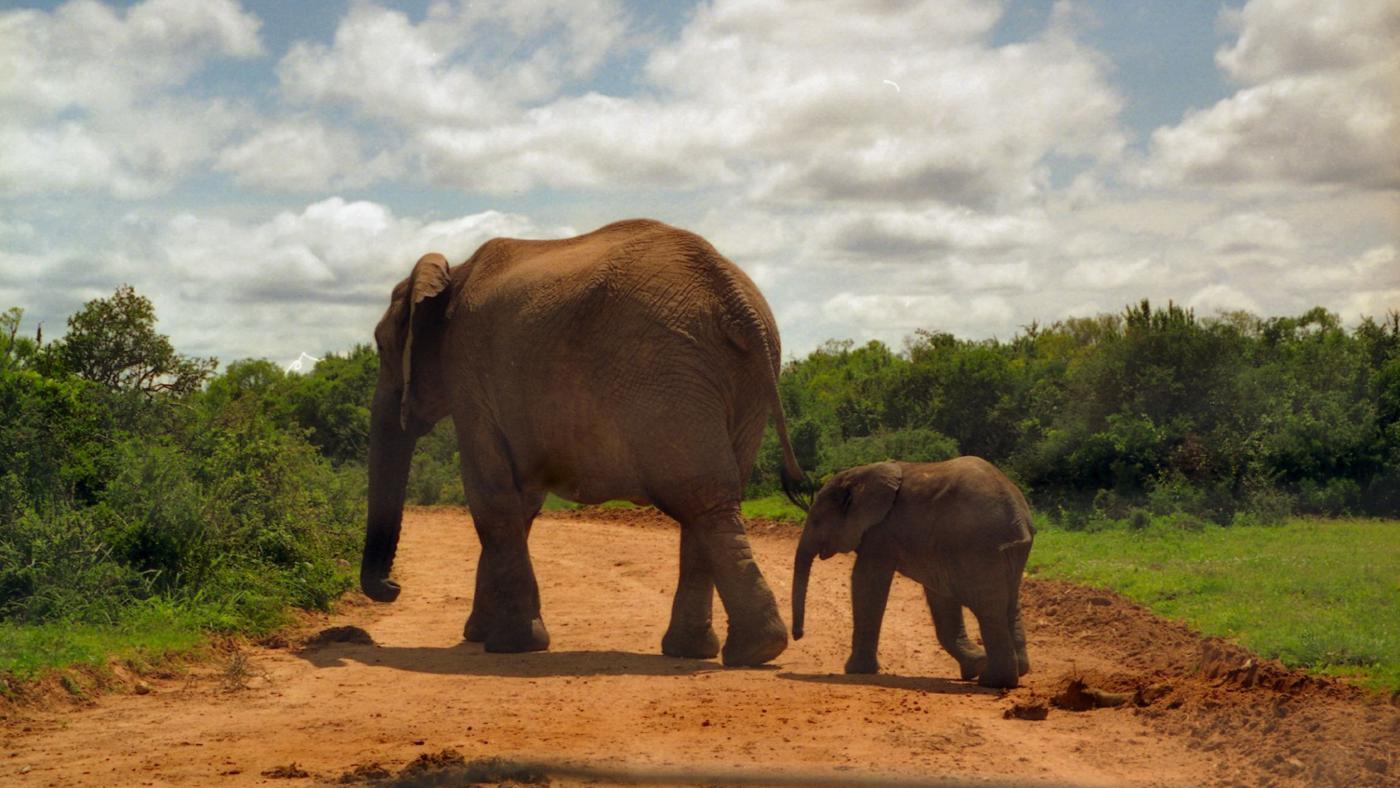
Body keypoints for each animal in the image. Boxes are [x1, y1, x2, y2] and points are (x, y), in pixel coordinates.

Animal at [360, 218, 807, 667]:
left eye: (381, 346)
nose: (393, 589)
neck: (454, 272)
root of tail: (733, 296)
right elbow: (521, 502)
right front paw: (481, 636)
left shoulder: (467, 373)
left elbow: (491, 498)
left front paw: (512, 644)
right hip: (732, 381)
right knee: (709, 501)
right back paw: (708, 651)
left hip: (664, 373)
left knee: (698, 496)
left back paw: (748, 650)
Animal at [791, 457, 1034, 688]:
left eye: (816, 520)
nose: (798, 635)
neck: (859, 473)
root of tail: (1017, 517)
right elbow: (940, 597)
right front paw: (975, 665)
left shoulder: (881, 532)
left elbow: (866, 581)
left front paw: (855, 671)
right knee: (1009, 605)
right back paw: (1016, 671)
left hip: (981, 549)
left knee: (989, 610)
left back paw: (994, 682)